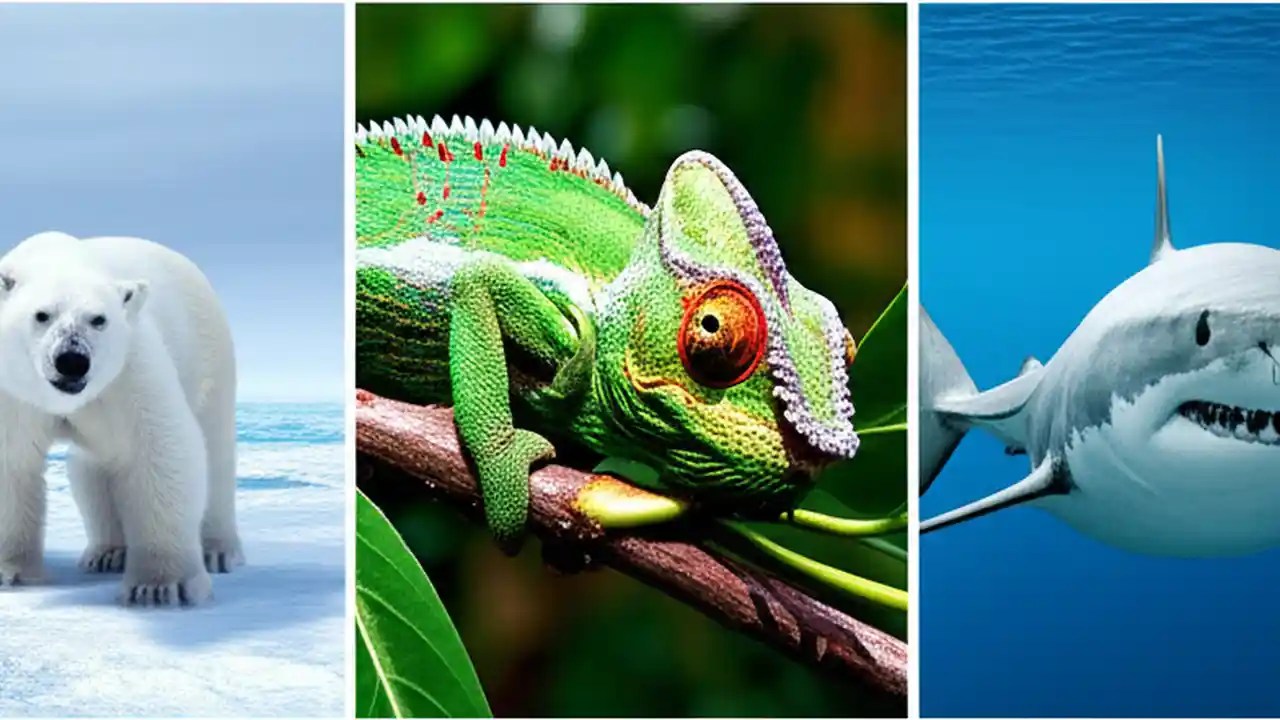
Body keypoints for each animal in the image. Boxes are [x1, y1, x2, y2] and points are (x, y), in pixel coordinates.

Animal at [0, 231, 240, 606]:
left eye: (99, 319)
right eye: (42, 315)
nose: (72, 360)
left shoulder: (129, 370)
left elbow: (159, 450)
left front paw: (159, 587)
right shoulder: (12, 392)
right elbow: (12, 463)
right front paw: (13, 572)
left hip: (209, 356)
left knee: (214, 451)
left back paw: (218, 551)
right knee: (92, 468)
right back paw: (108, 553)